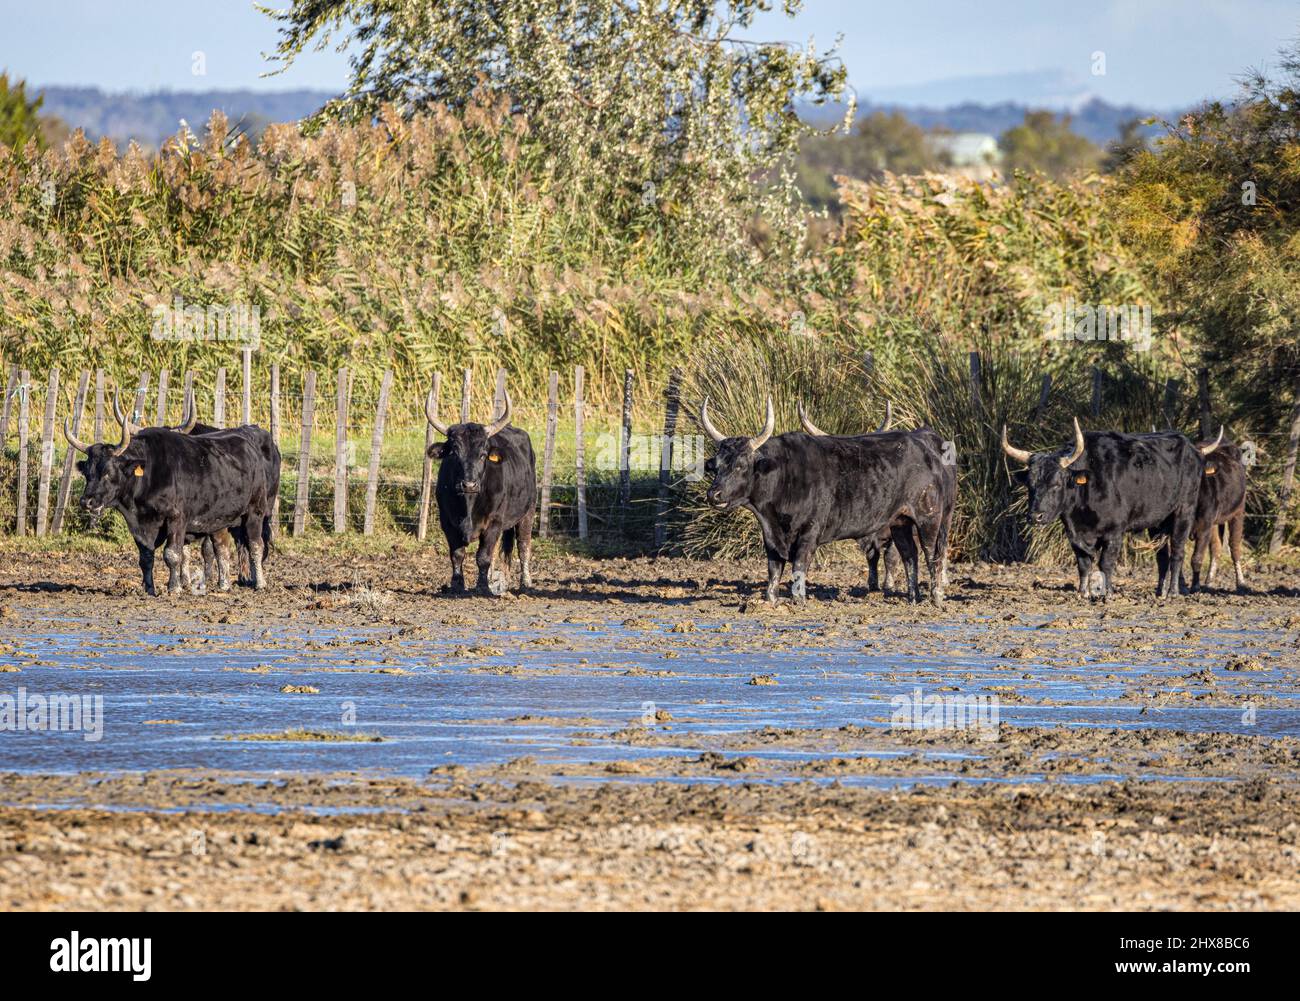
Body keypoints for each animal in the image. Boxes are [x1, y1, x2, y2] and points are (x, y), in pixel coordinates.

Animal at [65, 394, 273, 595]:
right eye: (87, 472)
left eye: (108, 472)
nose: (87, 501)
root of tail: (249, 442)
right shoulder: (138, 526)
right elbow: (146, 557)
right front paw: (149, 588)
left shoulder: (176, 518)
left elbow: (172, 554)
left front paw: (174, 587)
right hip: (218, 519)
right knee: (221, 546)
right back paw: (223, 585)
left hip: (256, 511)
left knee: (255, 545)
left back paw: (260, 583)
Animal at [425, 390, 536, 596]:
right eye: (454, 453)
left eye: (483, 454)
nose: (469, 484)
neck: (469, 504)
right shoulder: (447, 522)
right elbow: (457, 554)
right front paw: (457, 584)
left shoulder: (494, 523)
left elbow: (483, 557)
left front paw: (482, 586)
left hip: (528, 511)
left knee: (524, 546)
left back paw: (525, 583)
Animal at [698, 395, 953, 605]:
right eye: (716, 466)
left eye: (740, 465)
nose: (714, 494)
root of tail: (925, 446)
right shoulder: (771, 538)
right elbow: (773, 573)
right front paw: (771, 602)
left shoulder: (809, 534)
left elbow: (799, 569)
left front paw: (799, 601)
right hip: (900, 521)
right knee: (909, 554)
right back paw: (913, 598)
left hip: (930, 518)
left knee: (932, 554)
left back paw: (936, 598)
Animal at [1002, 419, 1223, 600]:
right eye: (1030, 484)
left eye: (1056, 483)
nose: (1035, 516)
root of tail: (1193, 449)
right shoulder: (1074, 534)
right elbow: (1084, 563)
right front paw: (1082, 592)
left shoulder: (1114, 532)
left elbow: (1105, 563)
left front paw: (1107, 593)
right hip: (1158, 522)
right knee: (1162, 557)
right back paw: (1159, 591)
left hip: (1183, 511)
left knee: (1177, 552)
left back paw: (1172, 592)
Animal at [1185, 438, 1248, 592]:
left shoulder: (1204, 526)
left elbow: (1196, 558)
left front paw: (1195, 587)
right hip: (1214, 523)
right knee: (1216, 548)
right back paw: (1209, 581)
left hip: (1238, 512)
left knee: (1234, 546)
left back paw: (1241, 582)